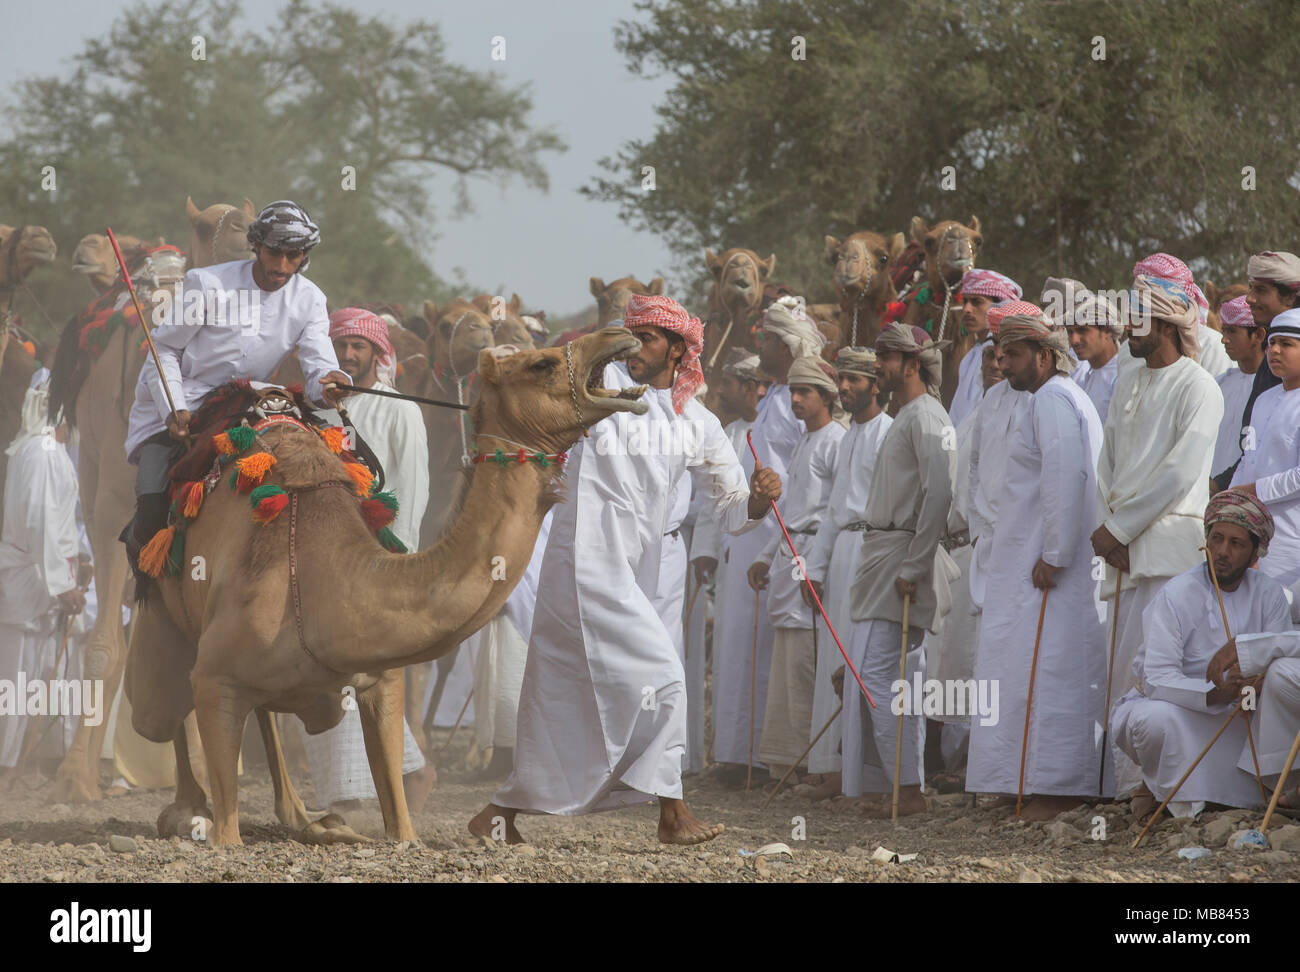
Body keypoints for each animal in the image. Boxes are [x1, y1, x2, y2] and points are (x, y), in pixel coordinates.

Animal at [125, 327, 651, 846]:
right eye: (540, 364)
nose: (619, 335)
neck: (314, 579)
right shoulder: (215, 678)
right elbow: (227, 831)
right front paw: (212, 822)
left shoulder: (382, 680)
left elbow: (400, 819)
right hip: (162, 638)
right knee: (159, 711)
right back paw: (191, 810)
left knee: (261, 716)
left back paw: (307, 816)